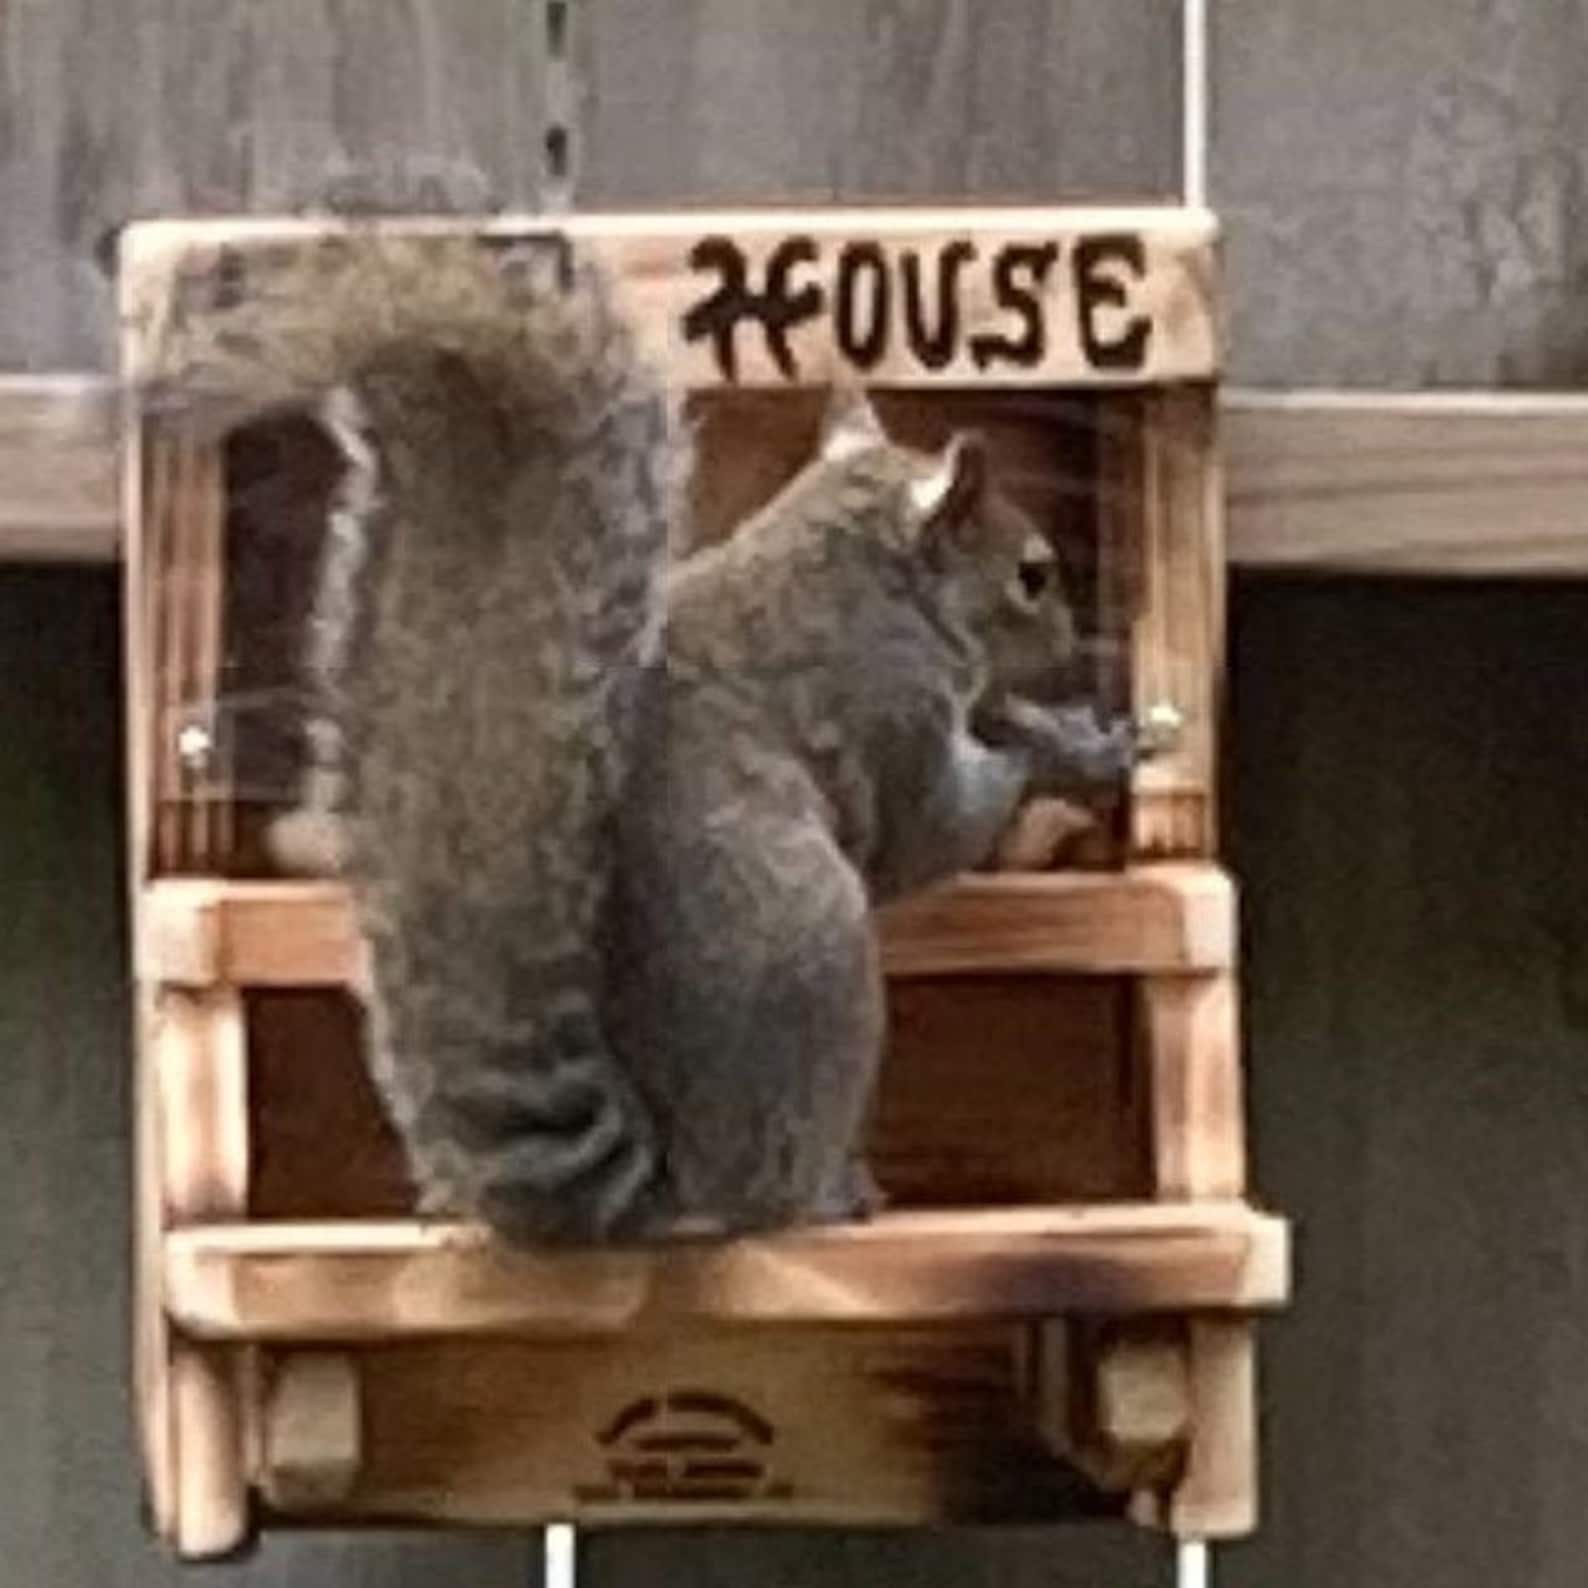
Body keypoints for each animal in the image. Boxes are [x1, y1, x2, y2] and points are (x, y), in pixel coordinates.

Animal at [141, 227, 1161, 1244]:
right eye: (1032, 576)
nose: (1072, 643)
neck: (863, 567)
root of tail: (669, 1190)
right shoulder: (893, 711)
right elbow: (930, 835)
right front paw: (1066, 741)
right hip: (816, 955)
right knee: (774, 1193)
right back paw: (833, 1193)